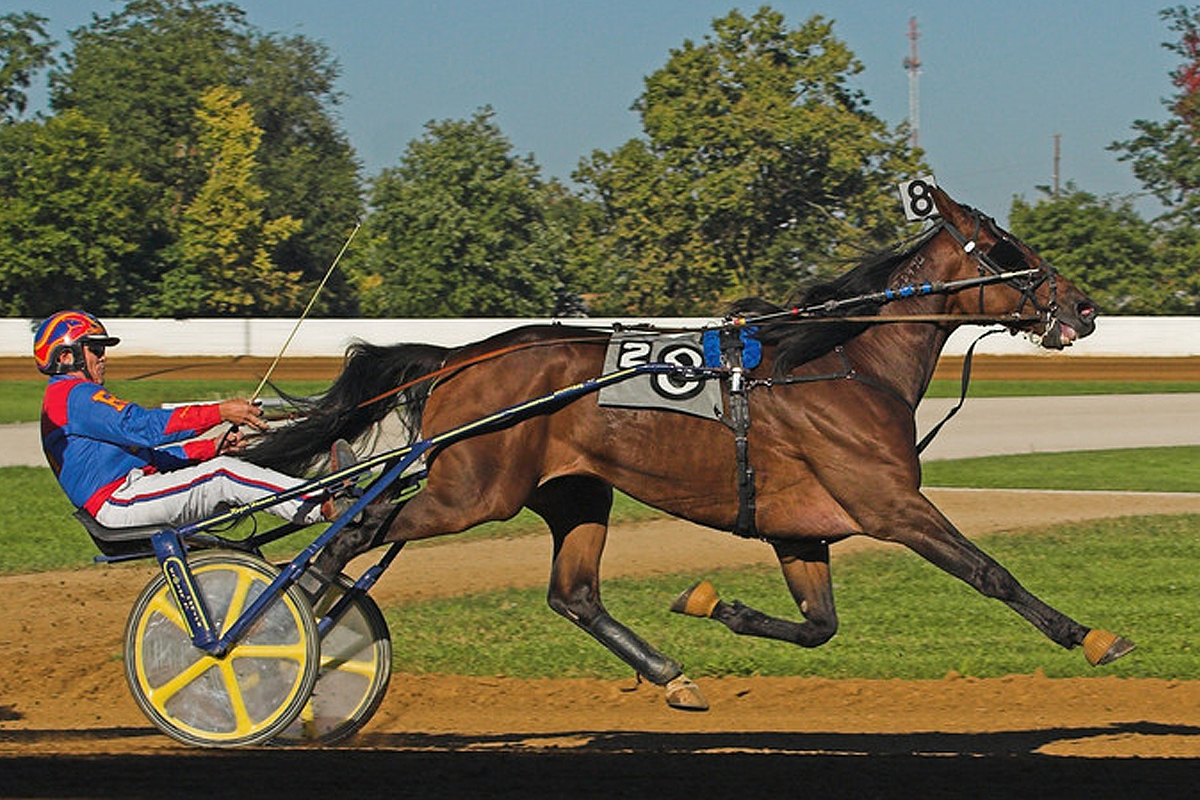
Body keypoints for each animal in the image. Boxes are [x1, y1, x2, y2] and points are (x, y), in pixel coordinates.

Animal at [246, 186, 1134, 710]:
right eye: (1011, 252)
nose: (1084, 306)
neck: (842, 359)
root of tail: (463, 356)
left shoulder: (799, 529)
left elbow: (819, 626)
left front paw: (712, 604)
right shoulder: (892, 505)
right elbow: (990, 572)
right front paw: (1092, 637)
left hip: (574, 492)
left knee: (573, 594)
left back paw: (671, 676)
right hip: (472, 494)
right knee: (353, 534)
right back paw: (279, 633)